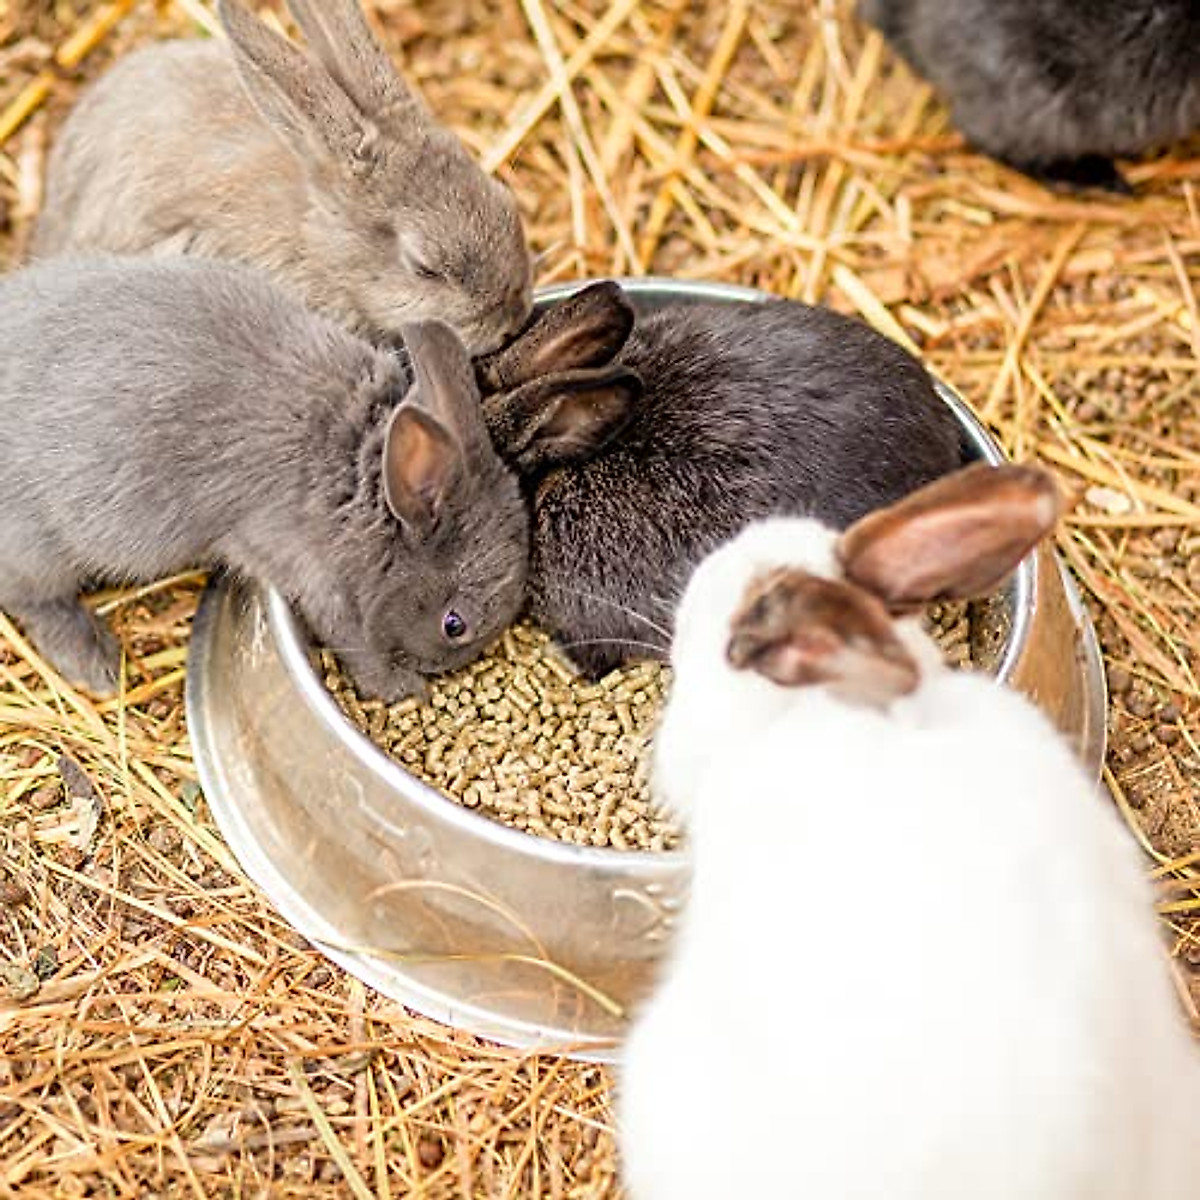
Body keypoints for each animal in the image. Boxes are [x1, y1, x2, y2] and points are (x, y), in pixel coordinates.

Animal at [0, 255, 529, 701]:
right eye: (454, 625)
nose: (446, 669)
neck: (361, 472)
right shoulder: (313, 576)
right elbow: (353, 640)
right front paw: (402, 689)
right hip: (40, 552)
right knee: (32, 600)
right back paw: (96, 663)